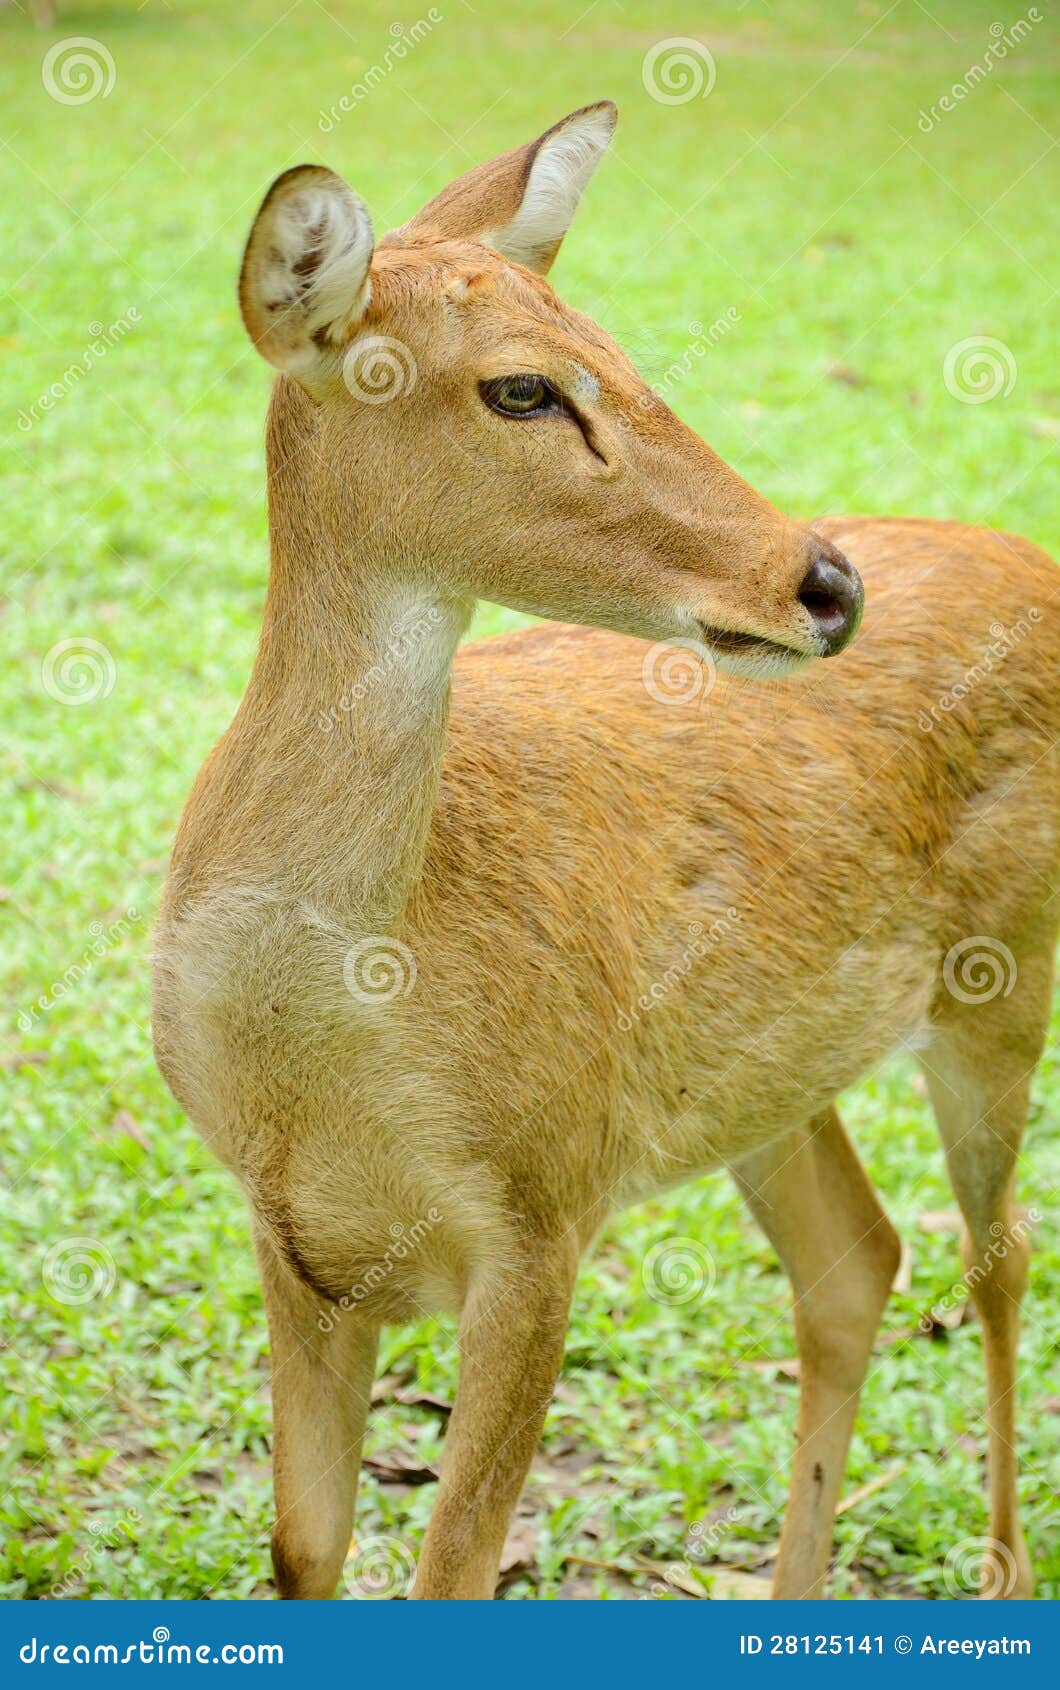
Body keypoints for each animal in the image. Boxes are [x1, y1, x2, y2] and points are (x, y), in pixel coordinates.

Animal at [151, 102, 1059, 1601]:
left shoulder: (541, 1212)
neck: (322, 1056)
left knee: (996, 1256)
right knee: (855, 1257)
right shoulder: (294, 1244)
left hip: (1004, 980)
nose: (825, 581)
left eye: (617, 345)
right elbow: (303, 1552)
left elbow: (452, 1571)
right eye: (523, 388)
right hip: (763, 1077)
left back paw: (998, 1567)